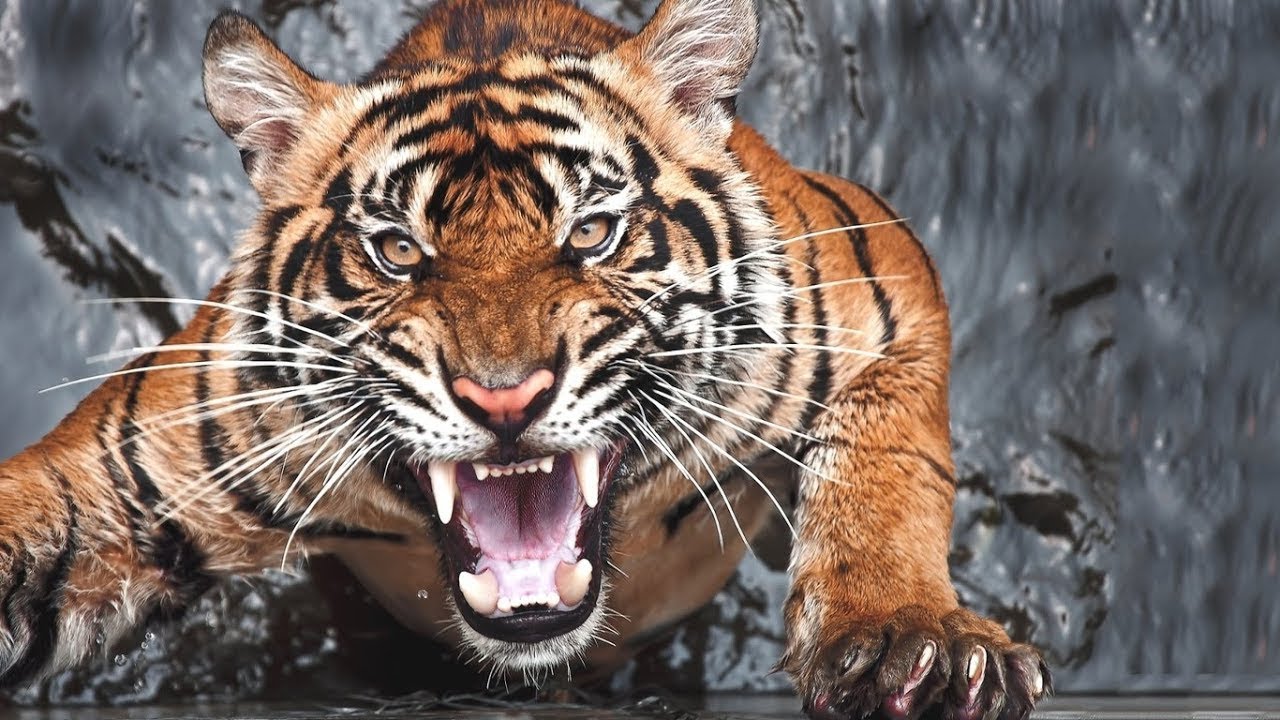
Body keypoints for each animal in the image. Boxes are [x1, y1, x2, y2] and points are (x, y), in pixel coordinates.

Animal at [0, 0, 1049, 717]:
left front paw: (909, 640)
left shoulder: (882, 281)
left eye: (590, 233)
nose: (504, 399)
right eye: (398, 250)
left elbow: (887, 467)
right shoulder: (128, 471)